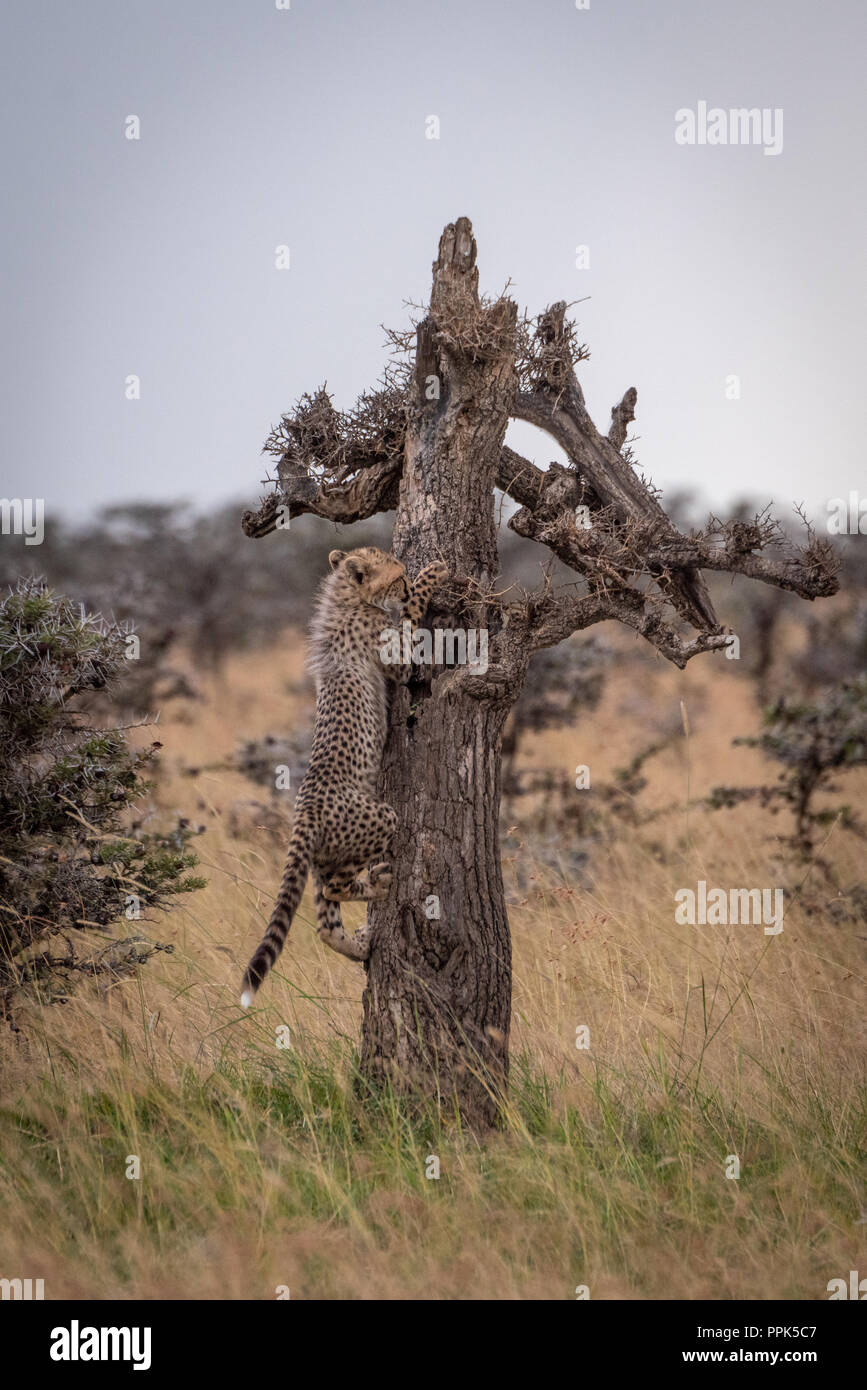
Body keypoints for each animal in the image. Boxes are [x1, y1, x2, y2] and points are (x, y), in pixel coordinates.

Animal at [240, 546, 449, 1006]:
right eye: (398, 577)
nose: (404, 583)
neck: (346, 600)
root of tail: (303, 809)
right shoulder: (396, 660)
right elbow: (410, 618)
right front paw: (429, 577)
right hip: (376, 820)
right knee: (336, 888)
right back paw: (379, 886)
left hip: (326, 854)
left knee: (324, 921)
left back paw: (360, 943)